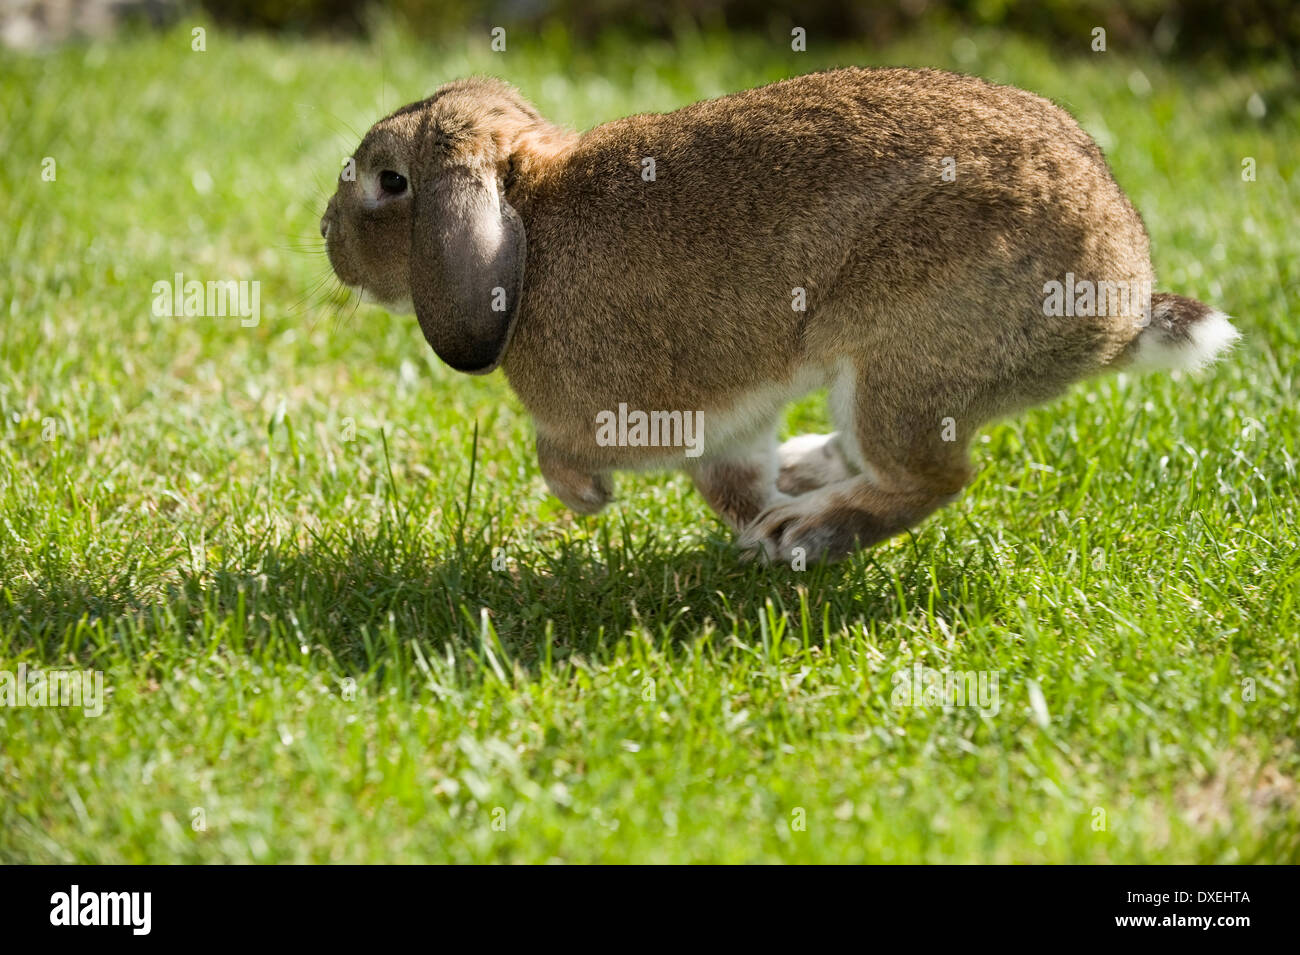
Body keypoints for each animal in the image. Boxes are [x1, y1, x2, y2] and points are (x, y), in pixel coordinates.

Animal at [321, 68, 1240, 563]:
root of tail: (1120, 306)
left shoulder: (635, 418)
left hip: (899, 359)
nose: (326, 235)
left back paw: (808, 530)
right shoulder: (731, 424)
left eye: (390, 181)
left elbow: (566, 455)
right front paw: (753, 527)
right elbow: (730, 482)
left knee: (937, 475)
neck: (530, 217)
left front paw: (587, 497)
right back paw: (799, 492)